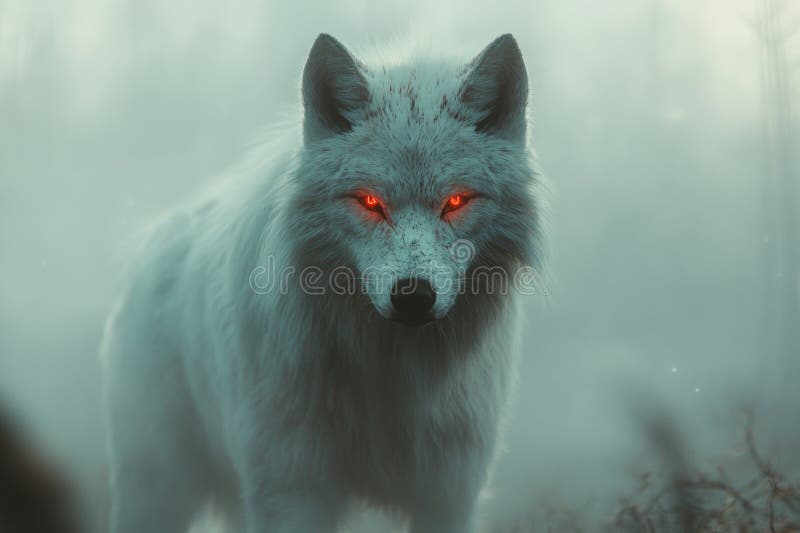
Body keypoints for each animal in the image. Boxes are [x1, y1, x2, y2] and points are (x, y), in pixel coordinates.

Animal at [102, 33, 543, 533]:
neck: (389, 375)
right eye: (369, 201)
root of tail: (153, 240)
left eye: (456, 201)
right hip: (158, 491)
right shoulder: (292, 487)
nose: (413, 297)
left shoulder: (450, 493)